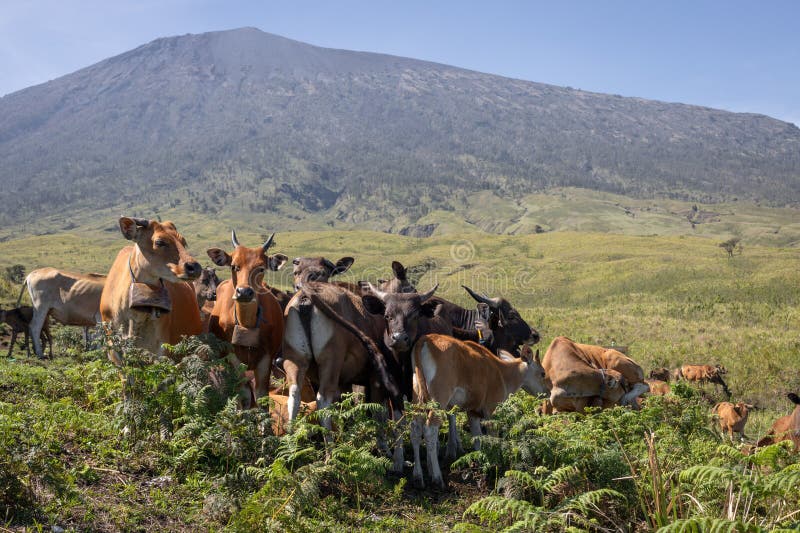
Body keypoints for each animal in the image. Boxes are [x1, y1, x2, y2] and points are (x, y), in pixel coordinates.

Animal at [206, 231, 287, 406]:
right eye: (234, 266)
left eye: (261, 268)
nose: (243, 292)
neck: (245, 325)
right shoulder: (232, 357)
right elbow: (244, 394)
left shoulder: (266, 358)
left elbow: (262, 395)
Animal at [410, 334, 548, 488]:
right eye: (543, 373)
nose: (548, 392)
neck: (501, 372)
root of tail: (426, 339)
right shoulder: (491, 411)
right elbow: (492, 438)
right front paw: (495, 467)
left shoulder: (473, 412)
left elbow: (477, 439)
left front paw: (481, 465)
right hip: (439, 400)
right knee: (429, 431)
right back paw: (437, 477)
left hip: (418, 399)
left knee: (415, 430)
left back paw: (418, 476)